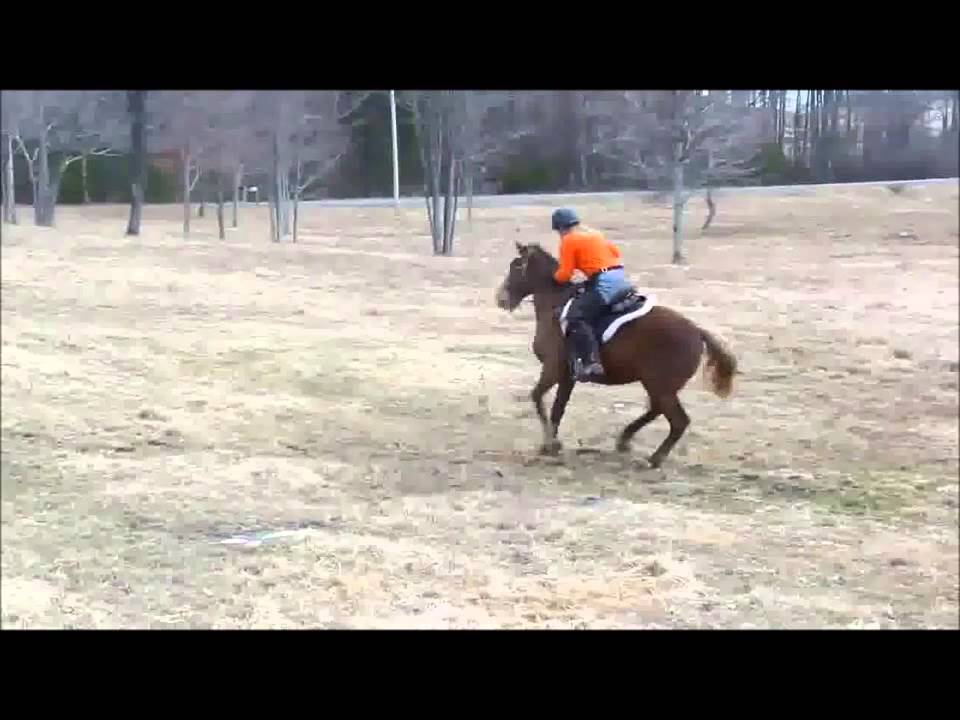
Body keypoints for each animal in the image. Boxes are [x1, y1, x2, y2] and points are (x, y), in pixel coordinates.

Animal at [494, 241, 738, 469]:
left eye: (516, 266)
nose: (501, 298)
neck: (556, 304)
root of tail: (697, 332)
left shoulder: (553, 369)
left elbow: (537, 397)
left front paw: (549, 444)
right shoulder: (567, 377)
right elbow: (557, 409)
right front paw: (552, 444)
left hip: (660, 386)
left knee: (678, 421)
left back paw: (654, 459)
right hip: (659, 386)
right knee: (656, 410)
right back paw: (625, 440)